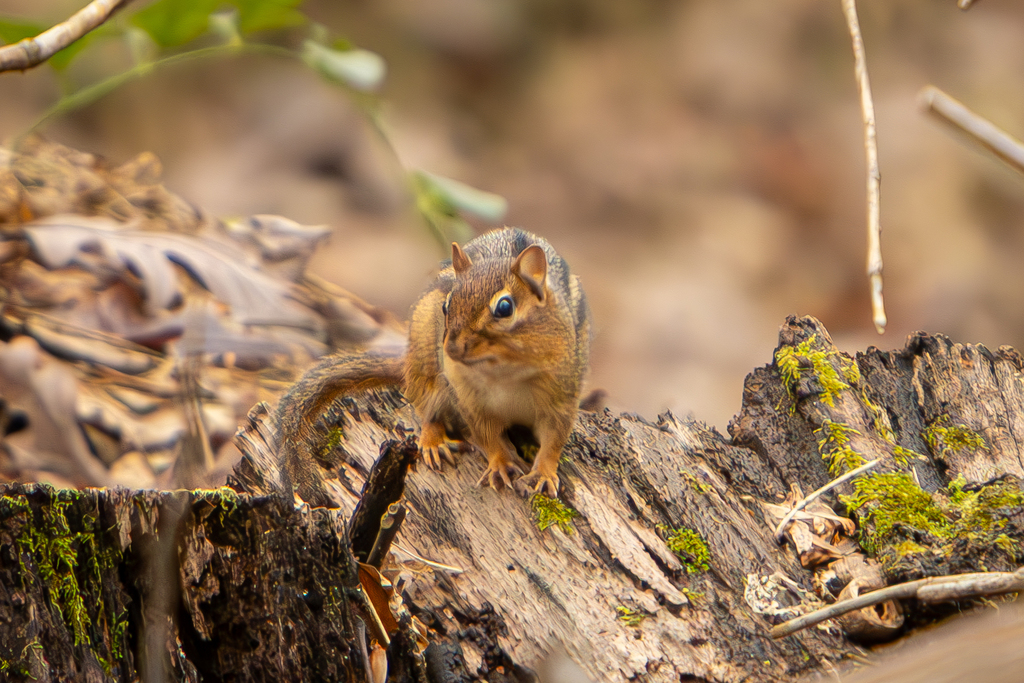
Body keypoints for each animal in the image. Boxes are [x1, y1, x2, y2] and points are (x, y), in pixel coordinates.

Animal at [275, 227, 591, 505]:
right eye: (446, 306)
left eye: (505, 308)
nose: (451, 349)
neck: (504, 371)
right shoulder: (469, 399)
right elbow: (487, 435)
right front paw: (500, 462)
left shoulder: (562, 397)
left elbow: (554, 440)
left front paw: (544, 473)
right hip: (427, 368)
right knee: (427, 409)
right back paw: (433, 442)